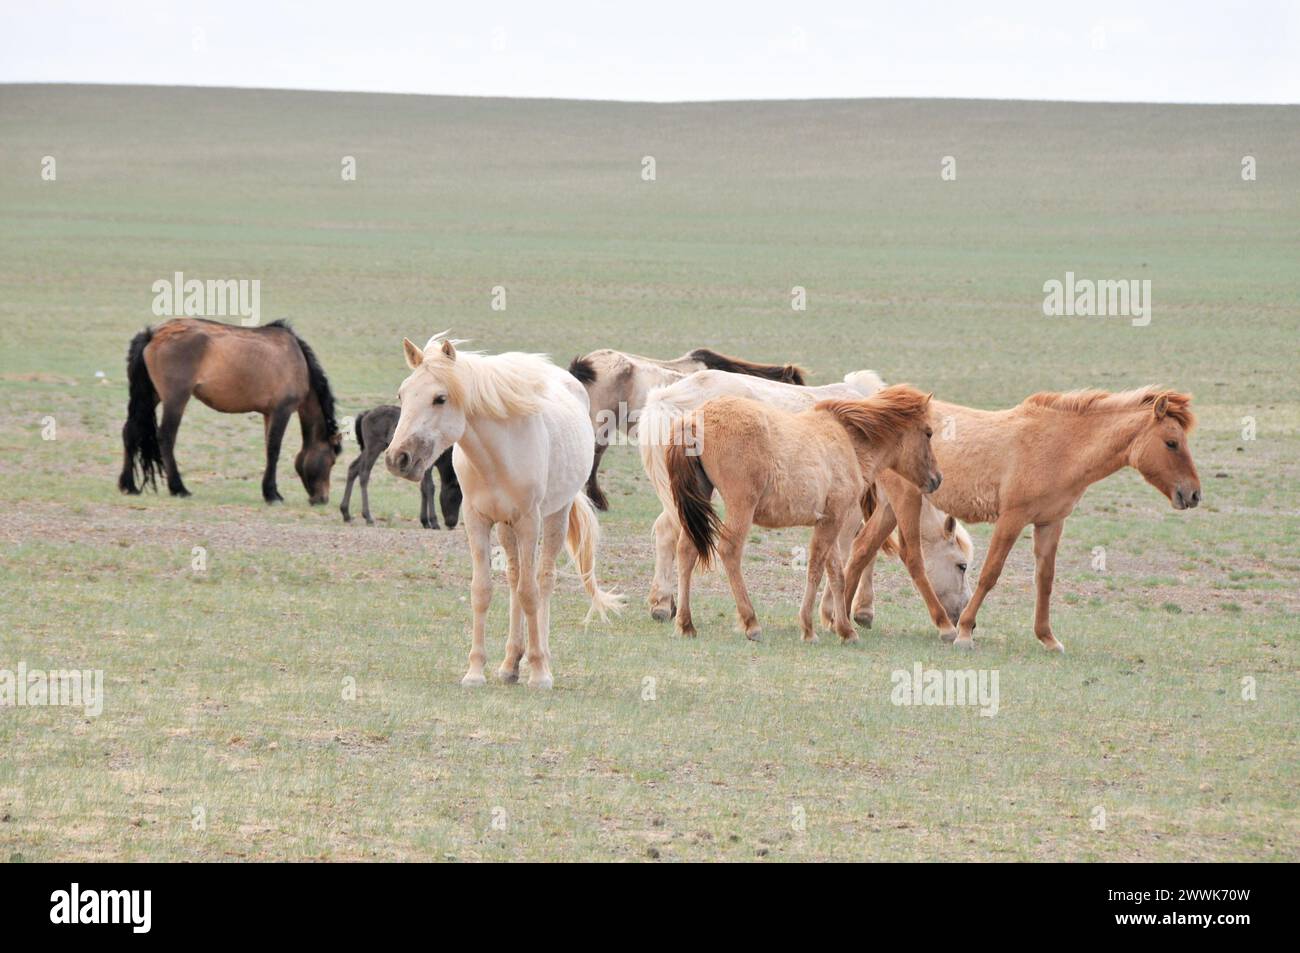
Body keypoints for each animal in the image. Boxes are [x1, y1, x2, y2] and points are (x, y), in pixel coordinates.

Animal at [118, 318, 342, 504]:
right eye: (331, 460)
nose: (322, 499)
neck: (297, 361)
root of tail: (153, 334)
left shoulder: (268, 414)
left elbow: (268, 448)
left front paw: (270, 491)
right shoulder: (282, 411)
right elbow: (274, 449)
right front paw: (272, 494)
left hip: (151, 395)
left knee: (130, 432)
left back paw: (129, 486)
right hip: (175, 399)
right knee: (165, 437)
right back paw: (179, 488)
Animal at [385, 334, 624, 689]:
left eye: (440, 398)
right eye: (402, 394)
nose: (397, 458)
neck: (497, 455)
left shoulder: (529, 522)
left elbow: (530, 593)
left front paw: (539, 673)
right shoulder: (477, 521)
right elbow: (482, 590)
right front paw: (475, 671)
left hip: (554, 516)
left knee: (543, 579)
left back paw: (542, 658)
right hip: (505, 526)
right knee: (513, 577)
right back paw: (511, 663)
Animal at [638, 368, 973, 627]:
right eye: (961, 566)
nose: (962, 614)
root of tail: (667, 399)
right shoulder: (850, 509)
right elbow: (852, 551)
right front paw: (839, 613)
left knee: (672, 536)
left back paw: (667, 605)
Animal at [844, 387, 1201, 653]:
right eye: (1171, 443)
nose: (1194, 494)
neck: (1062, 446)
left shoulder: (1050, 522)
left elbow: (1045, 580)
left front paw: (1048, 638)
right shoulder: (1012, 518)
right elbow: (991, 573)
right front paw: (965, 632)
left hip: (891, 506)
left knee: (861, 549)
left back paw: (842, 615)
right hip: (907, 500)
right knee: (912, 557)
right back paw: (943, 626)